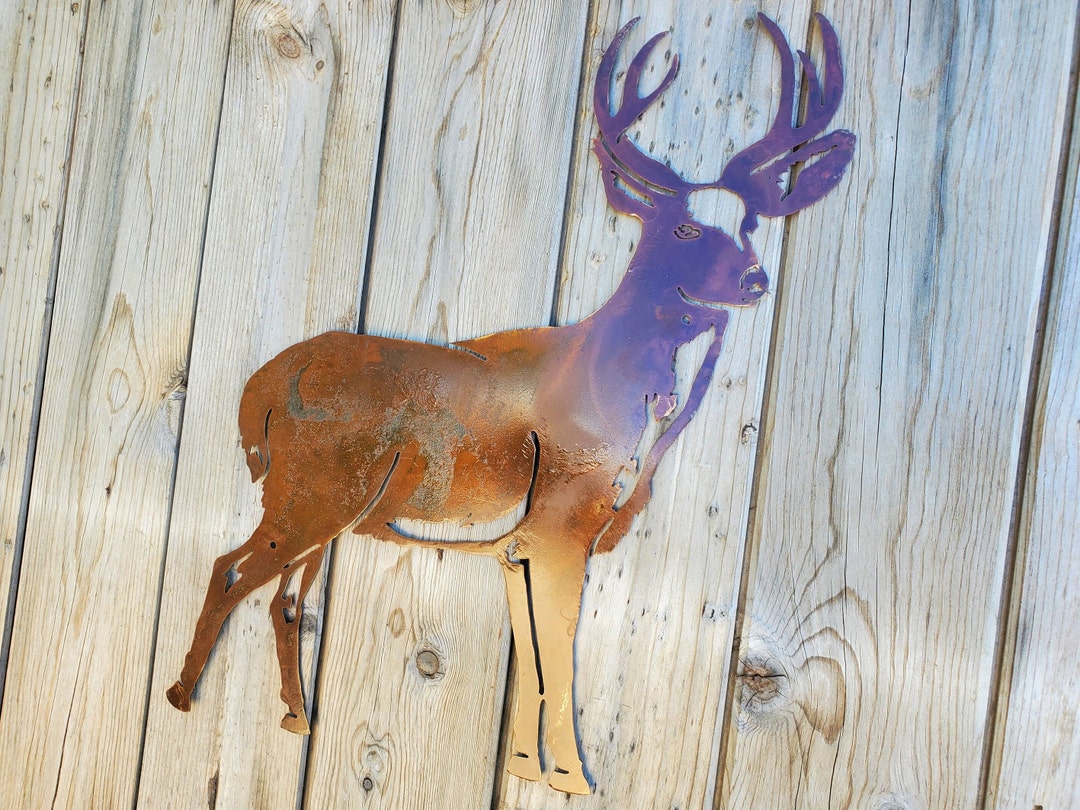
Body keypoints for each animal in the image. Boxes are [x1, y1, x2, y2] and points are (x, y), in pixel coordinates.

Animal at [167, 13, 854, 796]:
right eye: (682, 227)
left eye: (751, 224)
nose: (754, 279)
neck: (609, 381)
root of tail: (262, 383)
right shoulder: (562, 525)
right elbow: (557, 655)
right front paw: (574, 777)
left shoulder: (516, 546)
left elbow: (530, 653)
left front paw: (526, 763)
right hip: (310, 492)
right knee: (230, 567)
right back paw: (183, 695)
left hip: (326, 504)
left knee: (285, 598)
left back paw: (294, 716)